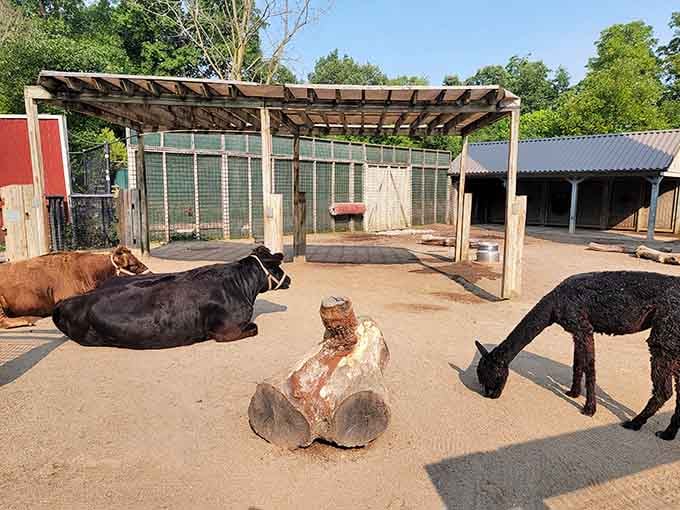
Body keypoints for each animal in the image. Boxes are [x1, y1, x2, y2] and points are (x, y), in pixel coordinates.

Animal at [52, 246, 291, 349]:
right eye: (276, 268)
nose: (289, 279)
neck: (239, 285)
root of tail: (69, 301)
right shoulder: (226, 331)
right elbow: (254, 328)